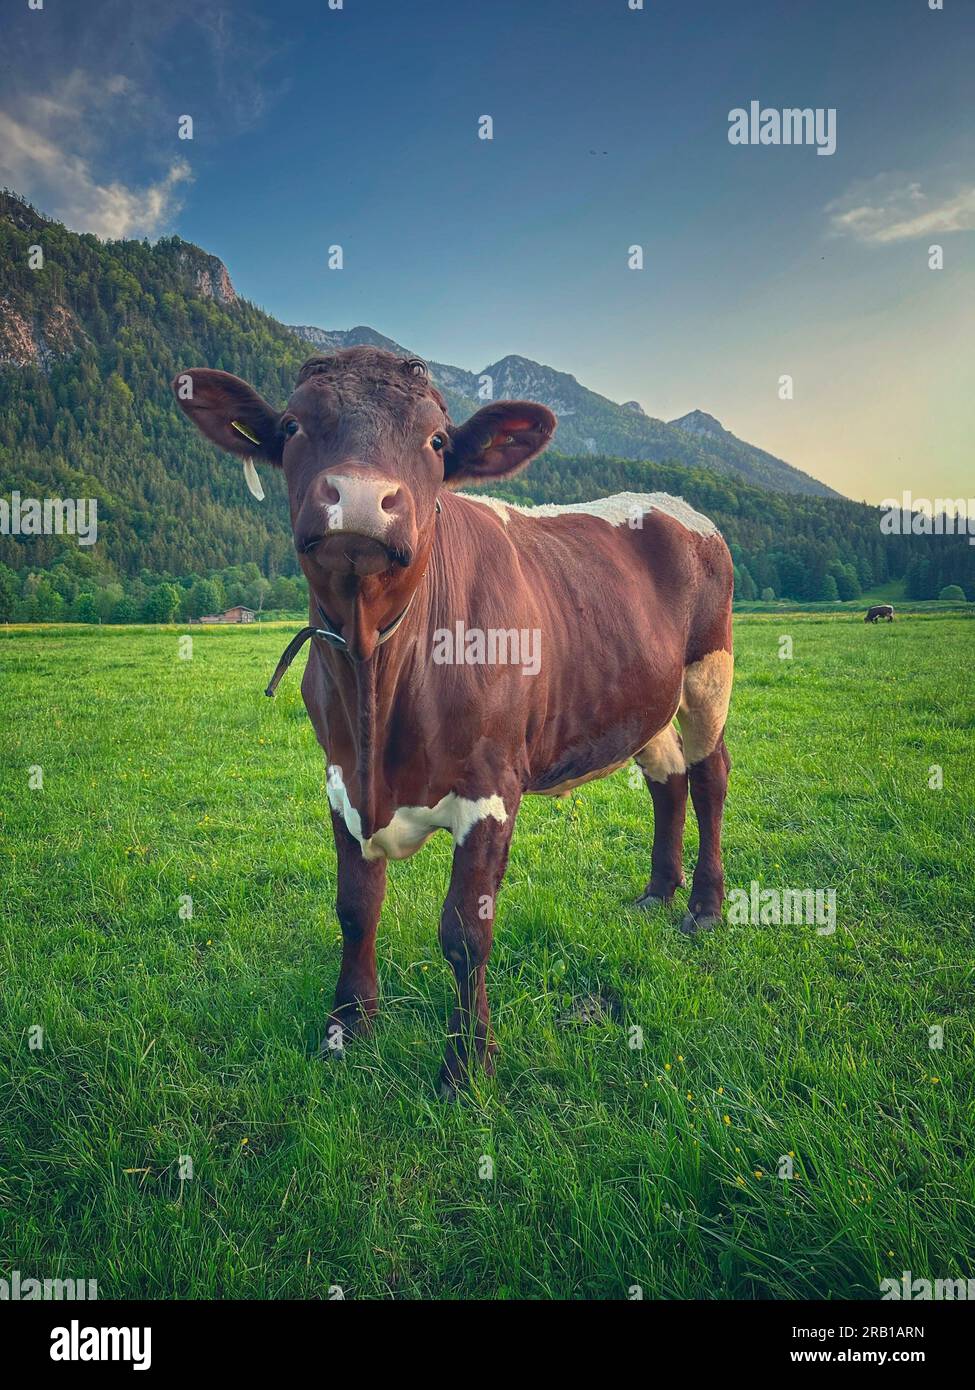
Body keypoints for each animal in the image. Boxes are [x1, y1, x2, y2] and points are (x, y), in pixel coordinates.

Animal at [173, 348, 734, 1095]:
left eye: (437, 442)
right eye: (292, 426)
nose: (360, 497)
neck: (377, 679)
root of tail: (665, 502)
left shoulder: (490, 785)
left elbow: (466, 933)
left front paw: (467, 1067)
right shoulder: (339, 779)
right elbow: (356, 907)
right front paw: (348, 1025)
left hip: (708, 675)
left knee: (709, 778)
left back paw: (703, 908)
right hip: (644, 695)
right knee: (665, 777)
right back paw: (655, 895)